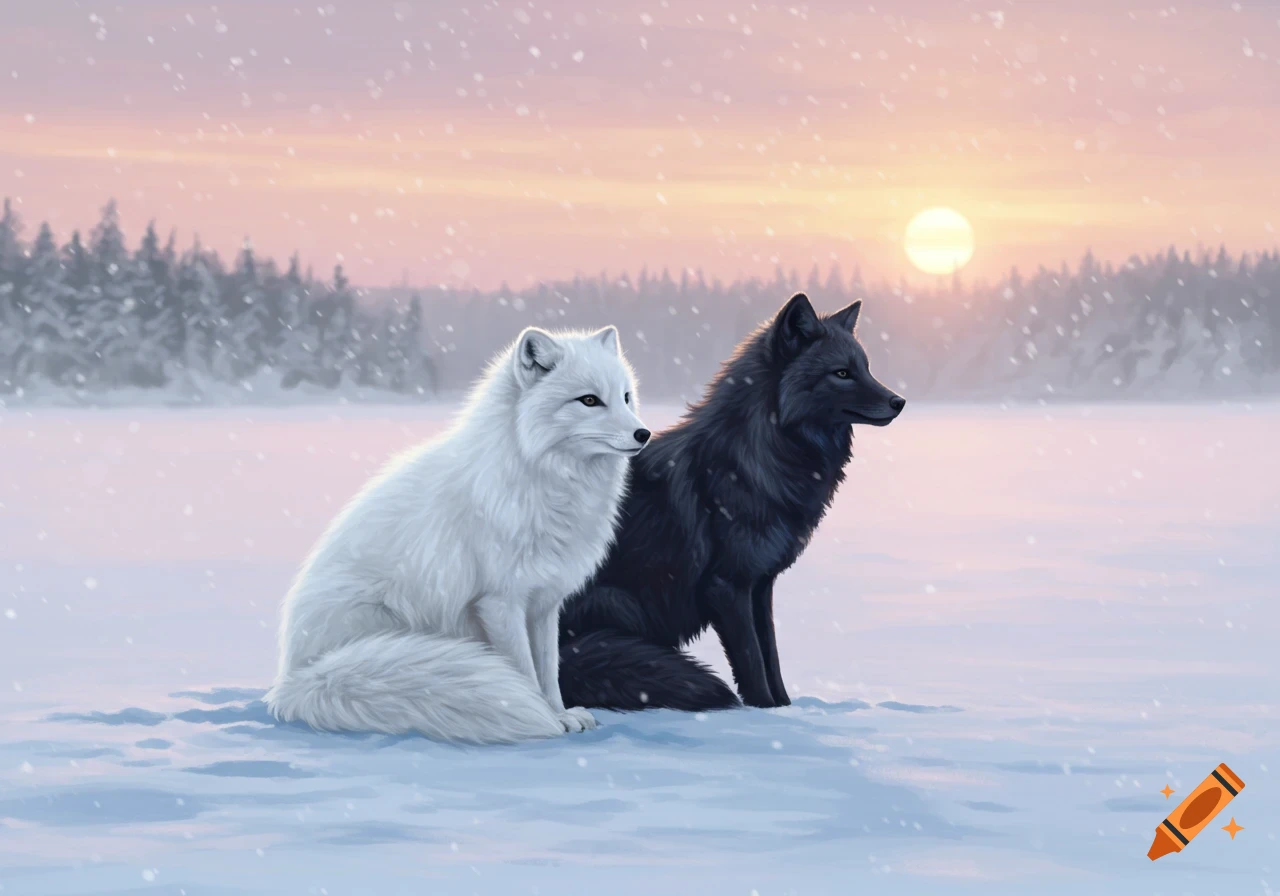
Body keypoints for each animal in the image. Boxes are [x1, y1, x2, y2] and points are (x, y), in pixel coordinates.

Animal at [265, 326, 650, 744]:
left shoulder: (544, 603)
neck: (543, 479)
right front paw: (544, 717)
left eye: (626, 397)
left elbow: (549, 669)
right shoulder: (500, 602)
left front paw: (560, 713)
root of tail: (294, 679)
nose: (643, 433)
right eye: (590, 400)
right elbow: (525, 670)